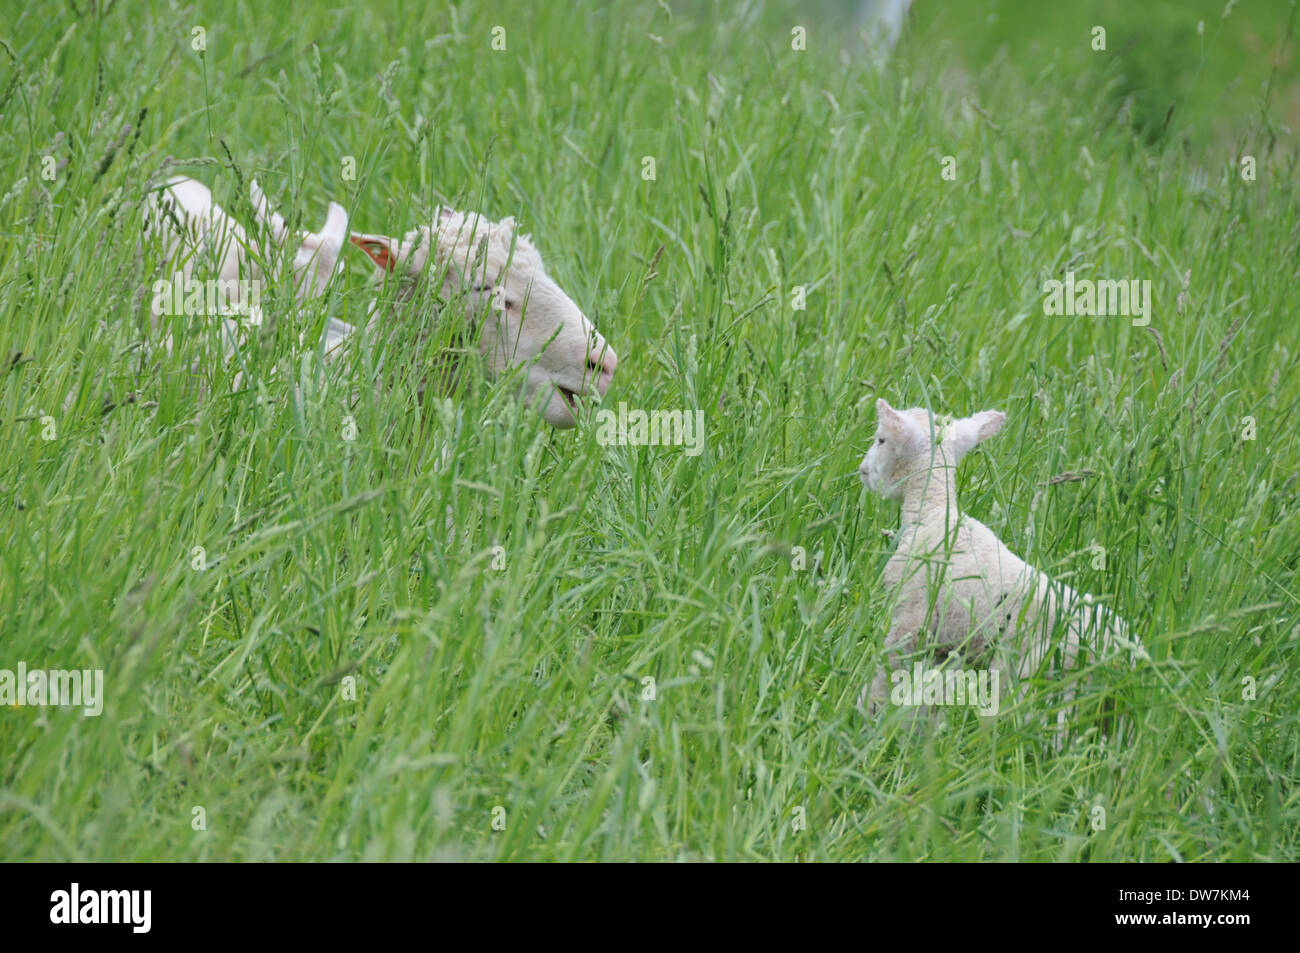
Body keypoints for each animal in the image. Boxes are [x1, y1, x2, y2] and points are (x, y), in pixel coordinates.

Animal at [857, 398, 1144, 741]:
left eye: (880, 440)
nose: (862, 470)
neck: (933, 511)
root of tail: (1124, 657)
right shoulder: (946, 645)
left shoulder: (912, 615)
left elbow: (888, 670)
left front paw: (869, 716)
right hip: (1114, 710)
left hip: (1050, 680)